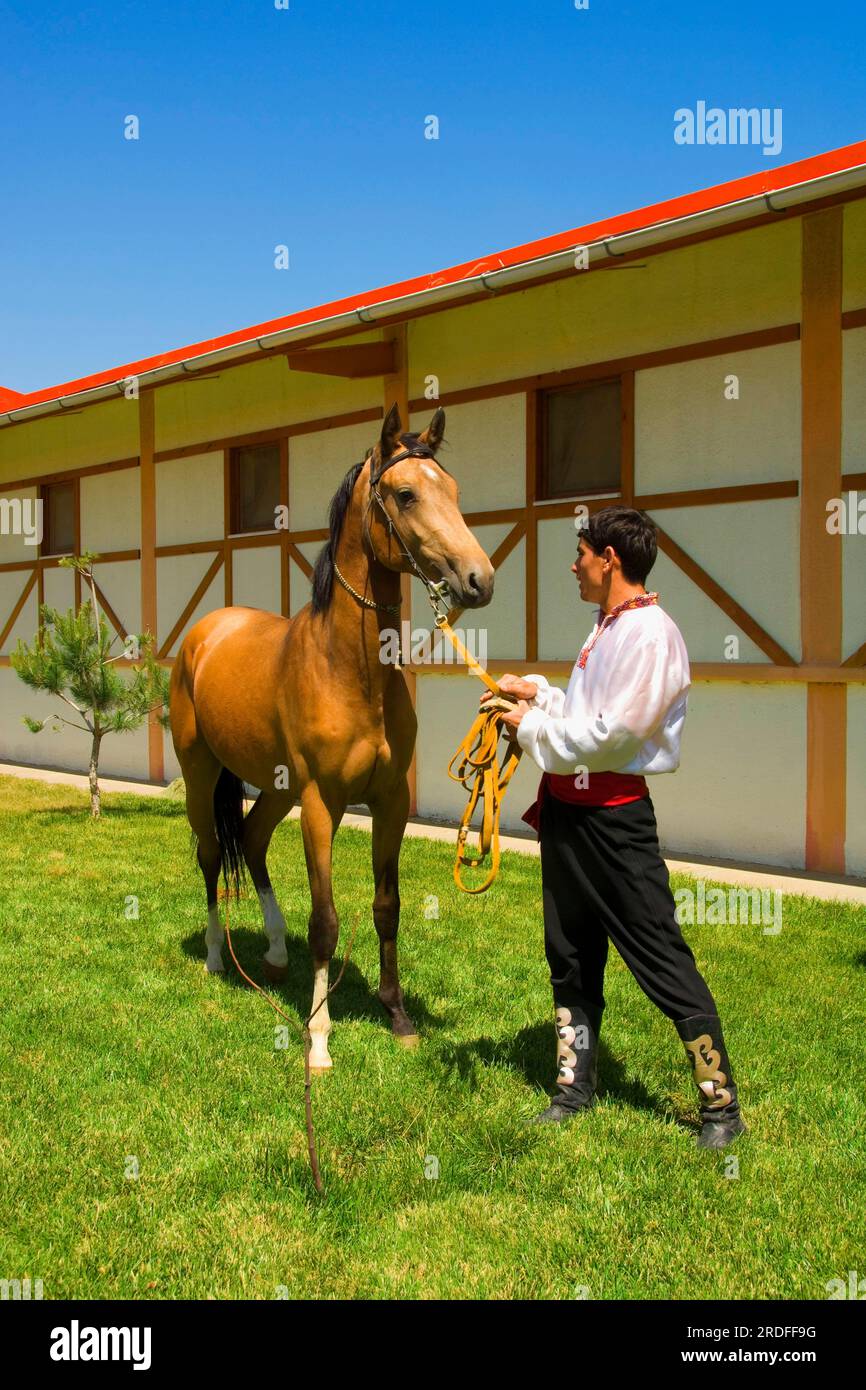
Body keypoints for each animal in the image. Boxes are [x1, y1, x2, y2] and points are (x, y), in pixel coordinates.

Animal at [169, 404, 494, 1072]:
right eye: (406, 493)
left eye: (452, 491)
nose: (480, 579)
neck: (350, 670)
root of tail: (205, 632)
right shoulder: (322, 803)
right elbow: (326, 920)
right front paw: (318, 1037)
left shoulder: (391, 802)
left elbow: (386, 908)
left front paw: (397, 1016)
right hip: (201, 774)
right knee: (212, 854)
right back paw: (215, 957)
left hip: (276, 787)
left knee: (253, 840)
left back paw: (272, 952)